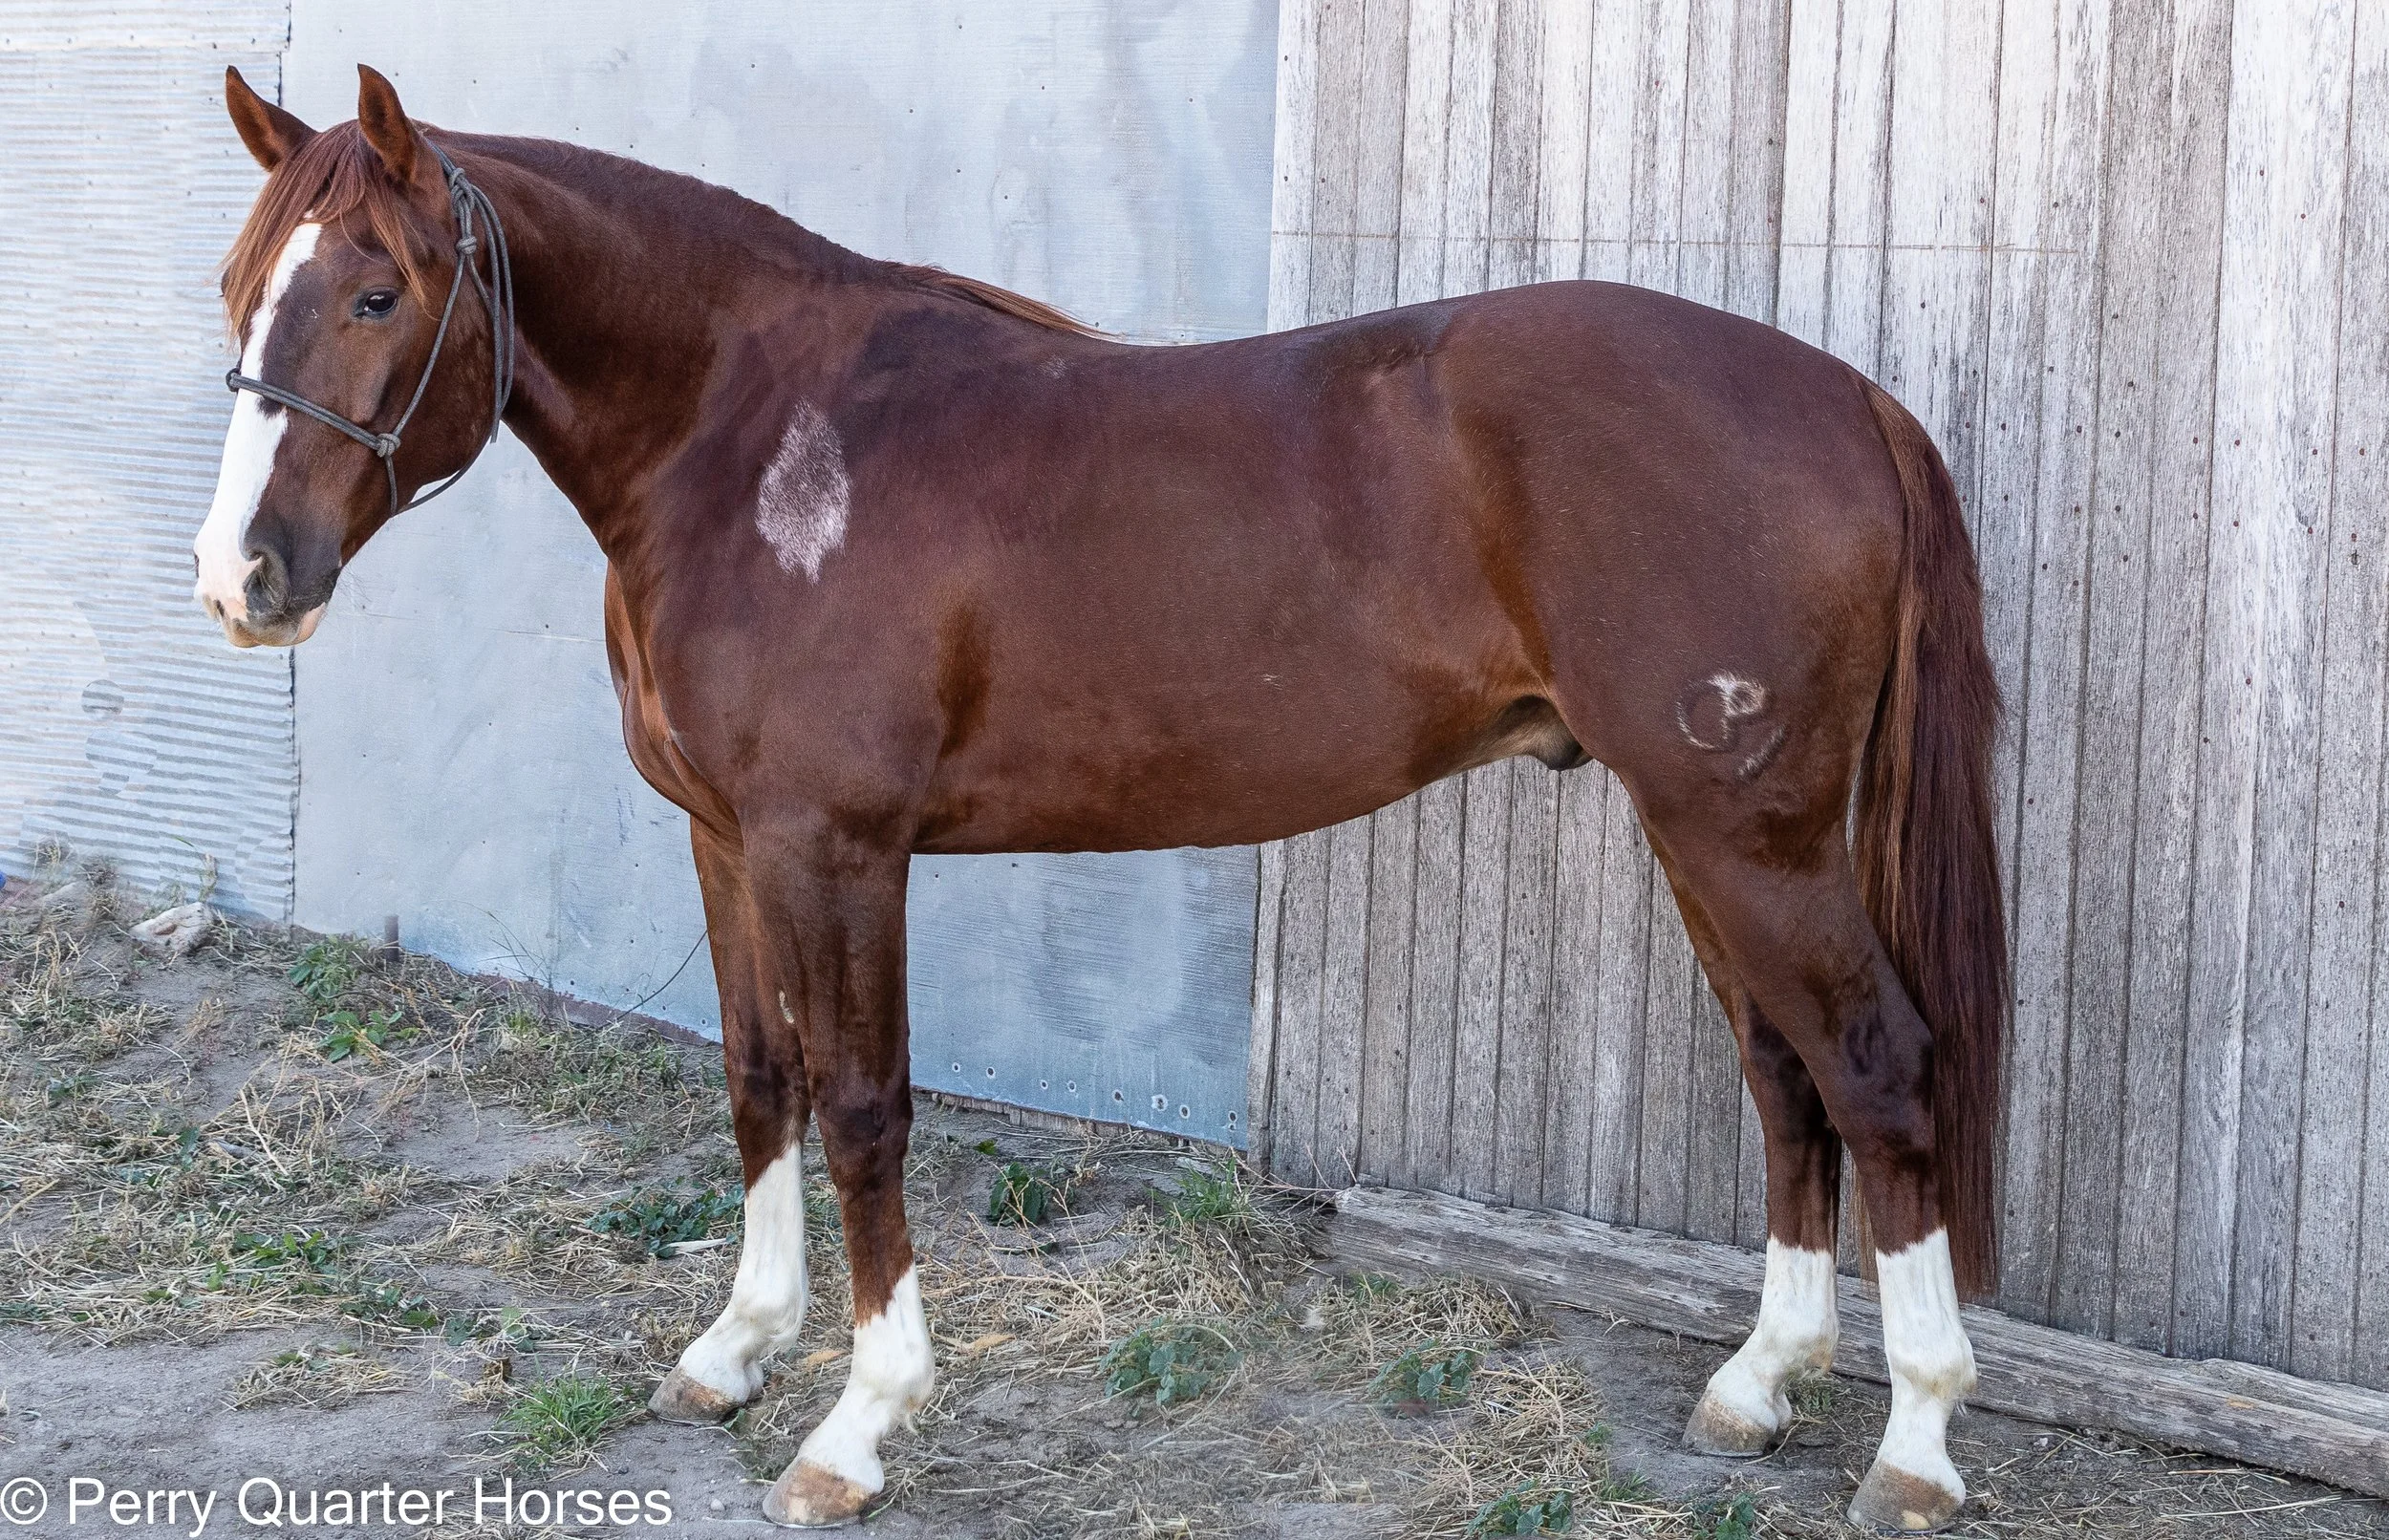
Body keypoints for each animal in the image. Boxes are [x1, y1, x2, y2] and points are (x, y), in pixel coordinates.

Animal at [197, 64, 2008, 1532]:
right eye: (238, 285)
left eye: (376, 292)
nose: (244, 580)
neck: (758, 440)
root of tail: (1849, 397)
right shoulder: (727, 840)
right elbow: (760, 1080)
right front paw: (733, 1350)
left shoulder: (836, 853)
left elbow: (863, 1109)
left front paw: (856, 1429)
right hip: (1707, 832)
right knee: (1784, 1077)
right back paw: (1759, 1385)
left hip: (1752, 838)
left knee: (1878, 1067)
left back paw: (1915, 1448)